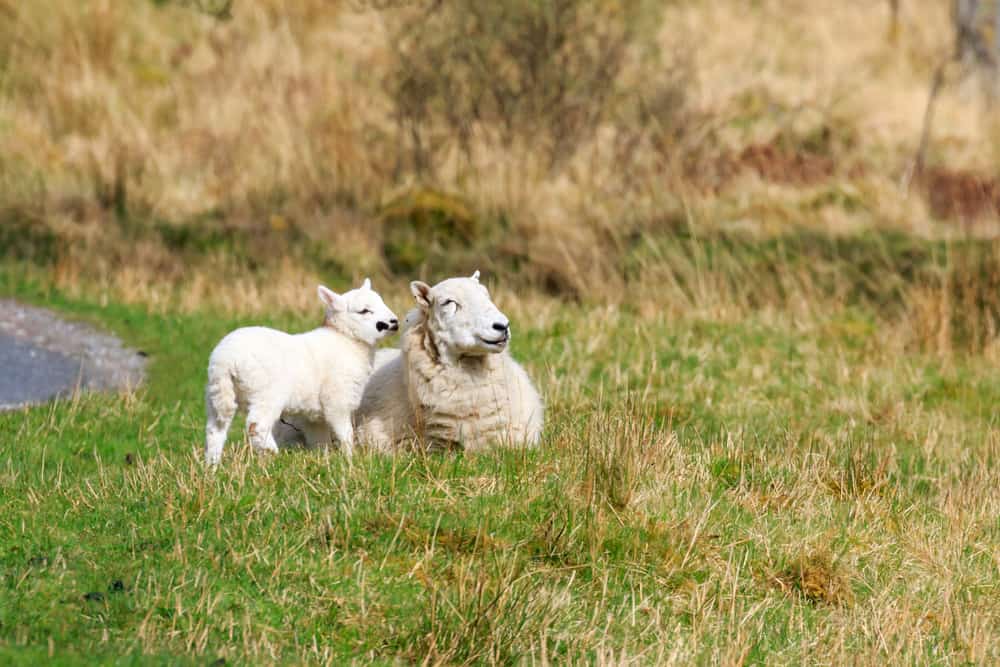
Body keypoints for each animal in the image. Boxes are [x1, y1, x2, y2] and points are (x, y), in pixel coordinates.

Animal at [203, 278, 398, 465]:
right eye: (364, 311)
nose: (394, 322)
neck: (346, 339)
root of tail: (226, 359)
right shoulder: (337, 401)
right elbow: (345, 434)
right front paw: (350, 461)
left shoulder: (314, 416)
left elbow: (320, 441)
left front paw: (325, 461)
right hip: (265, 393)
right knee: (256, 425)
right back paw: (271, 453)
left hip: (217, 393)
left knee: (215, 430)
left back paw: (212, 466)